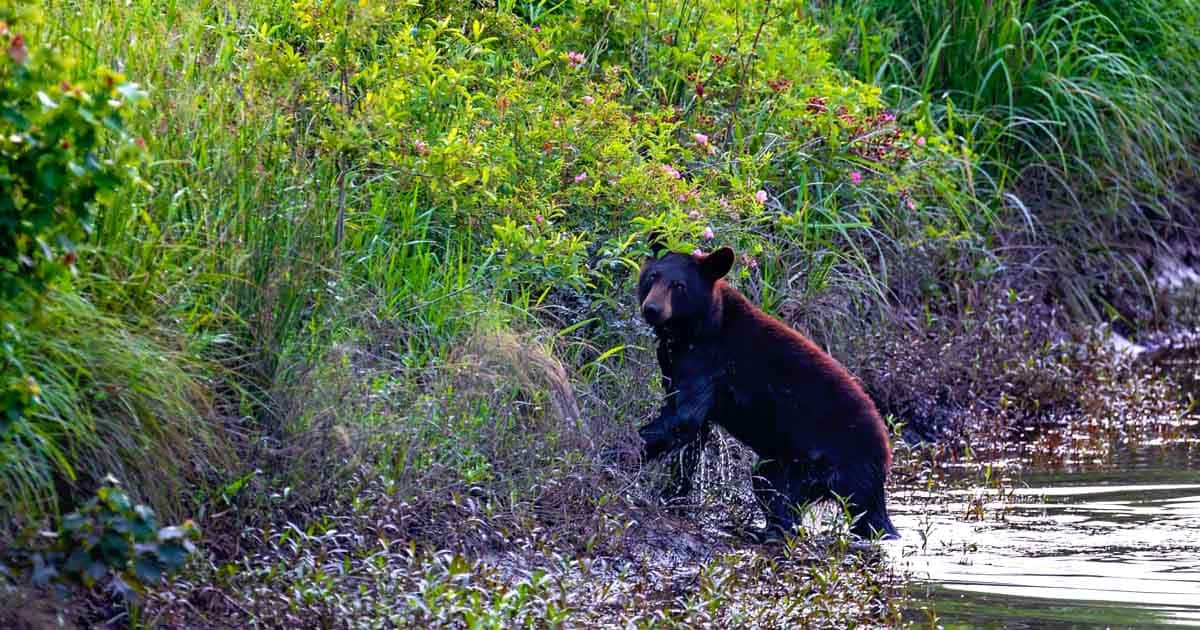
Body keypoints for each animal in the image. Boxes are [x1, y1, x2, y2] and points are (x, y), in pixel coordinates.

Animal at [636, 241, 899, 540]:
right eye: (652, 277)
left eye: (679, 285)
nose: (652, 308)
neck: (691, 330)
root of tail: (883, 458)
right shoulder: (675, 364)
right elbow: (690, 434)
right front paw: (672, 493)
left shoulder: (708, 362)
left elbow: (683, 418)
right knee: (769, 483)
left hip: (824, 461)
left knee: (784, 498)